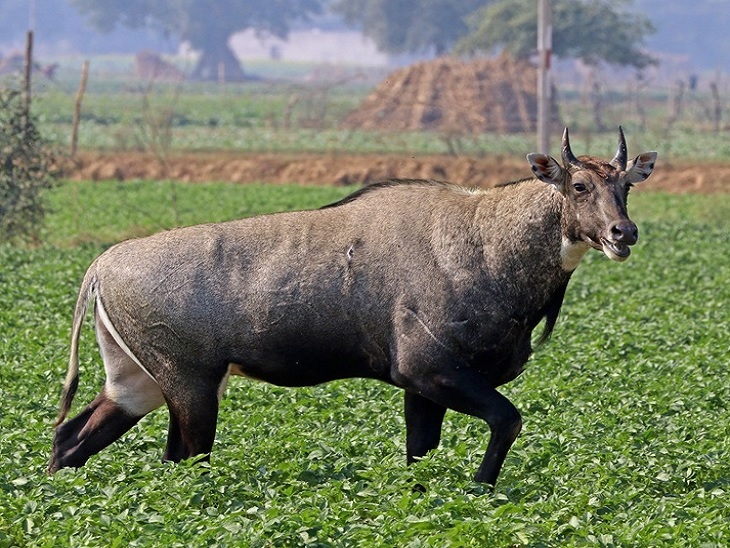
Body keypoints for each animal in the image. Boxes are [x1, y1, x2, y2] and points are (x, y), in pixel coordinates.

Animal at [49, 128, 657, 487]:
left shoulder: (423, 387)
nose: (623, 233)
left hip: (137, 382)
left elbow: (419, 453)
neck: (485, 241)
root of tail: (100, 266)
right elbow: (508, 420)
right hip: (191, 386)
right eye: (579, 186)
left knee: (70, 438)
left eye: (626, 186)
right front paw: (480, 490)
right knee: (181, 459)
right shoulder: (430, 371)